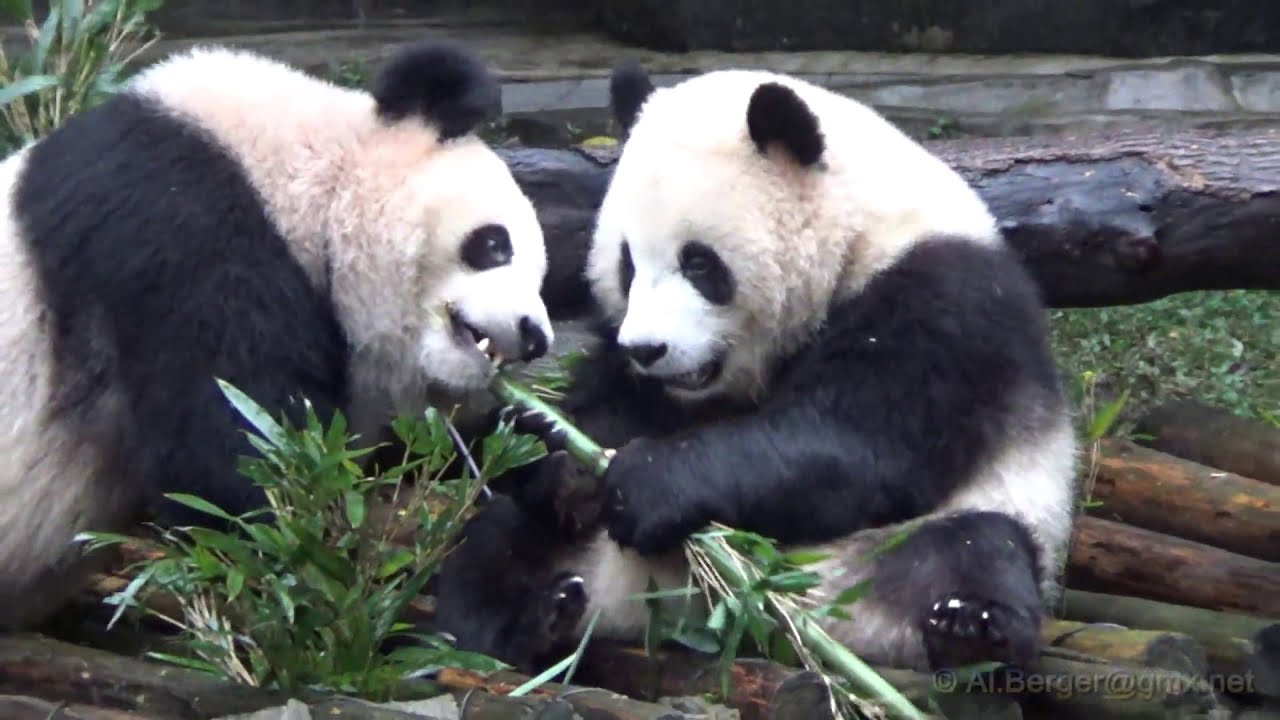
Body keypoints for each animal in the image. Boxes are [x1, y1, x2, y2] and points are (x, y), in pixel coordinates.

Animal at [429, 60, 1081, 676]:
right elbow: (605, 411)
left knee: (977, 548)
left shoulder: (946, 301)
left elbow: (855, 443)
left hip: (965, 524)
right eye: (628, 265)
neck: (861, 233)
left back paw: (970, 632)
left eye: (699, 264)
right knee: (497, 540)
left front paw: (648, 484)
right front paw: (571, 466)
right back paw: (530, 624)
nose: (647, 349)